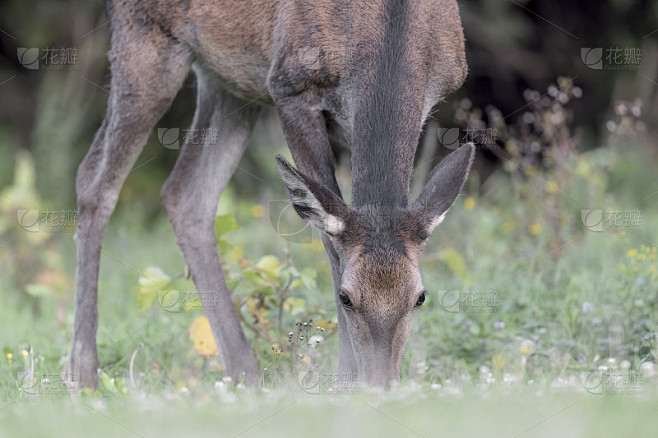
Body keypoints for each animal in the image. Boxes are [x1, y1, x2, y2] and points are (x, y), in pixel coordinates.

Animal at [66, 0, 474, 390]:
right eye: (346, 296)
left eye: (420, 296)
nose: (381, 384)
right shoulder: (291, 86)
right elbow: (329, 245)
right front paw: (343, 378)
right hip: (146, 39)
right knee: (95, 179)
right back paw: (82, 375)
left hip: (229, 82)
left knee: (185, 194)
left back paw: (244, 374)